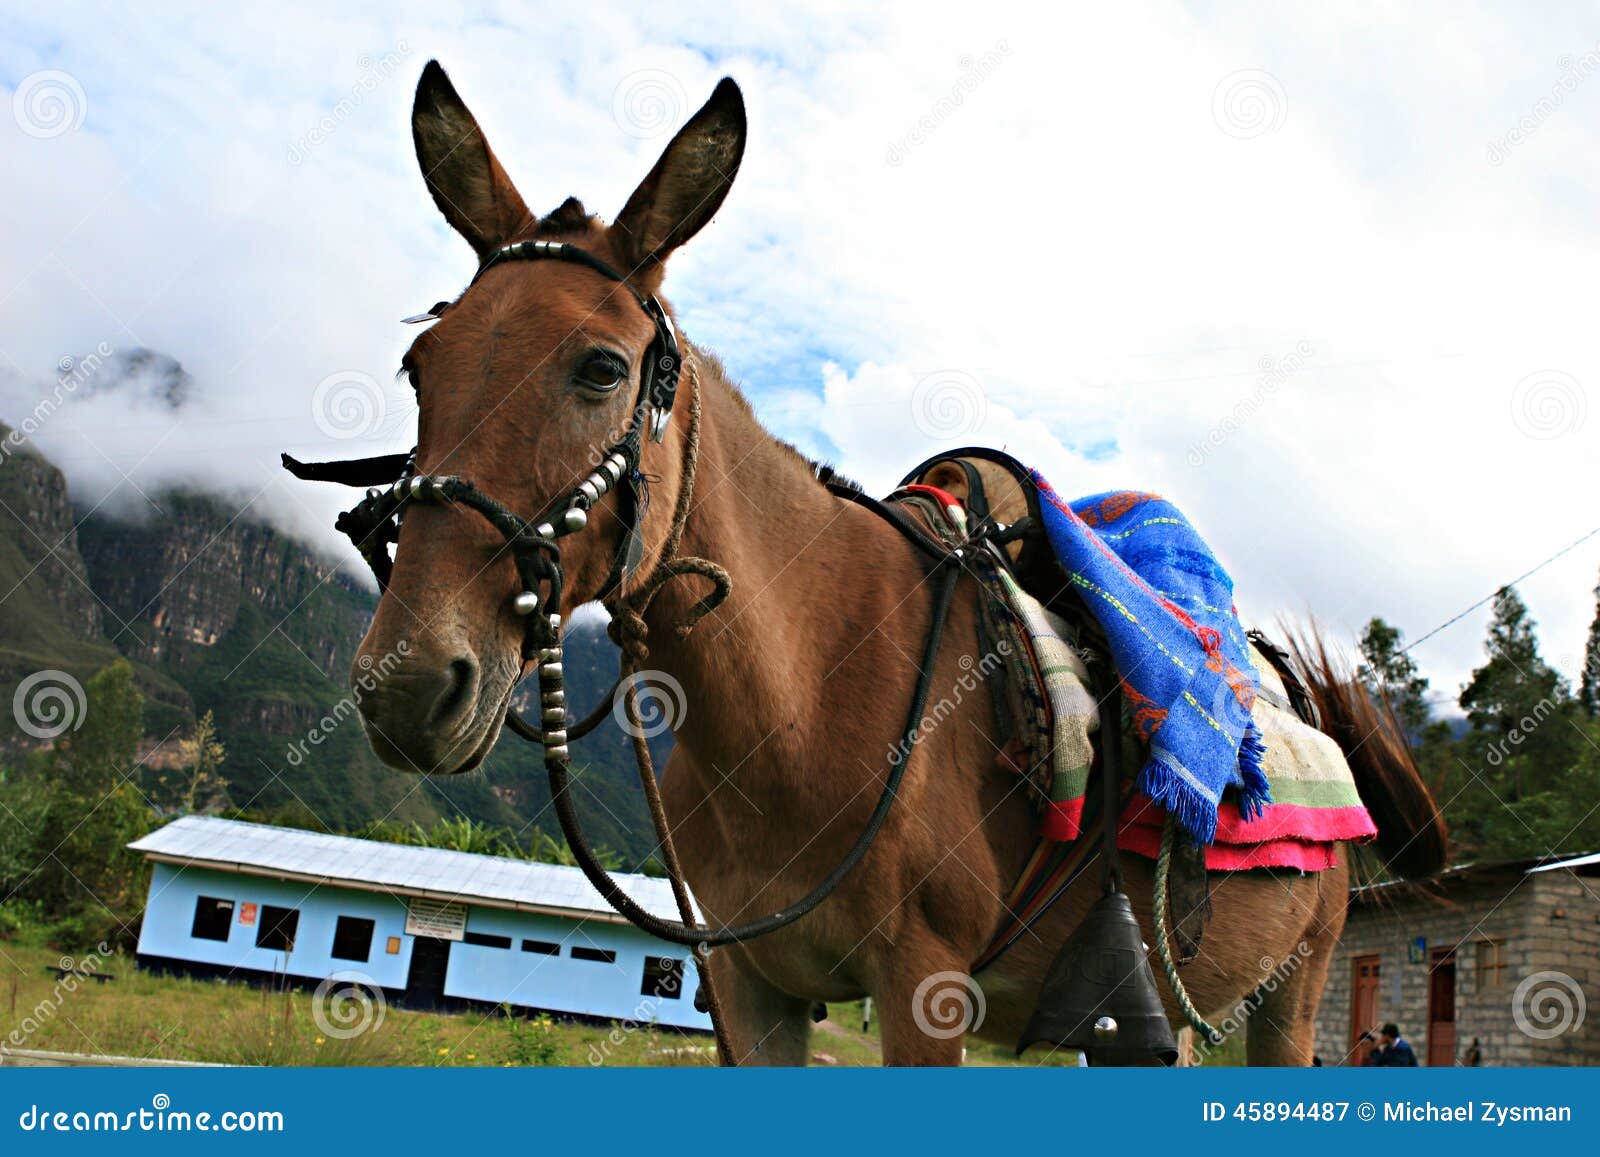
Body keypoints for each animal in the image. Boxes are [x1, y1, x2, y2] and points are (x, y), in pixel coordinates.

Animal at [350, 62, 1446, 1066]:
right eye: (419, 368)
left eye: (601, 368)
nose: (406, 683)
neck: (805, 694)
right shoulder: (748, 985)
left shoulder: (927, 986)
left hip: (1293, 988)